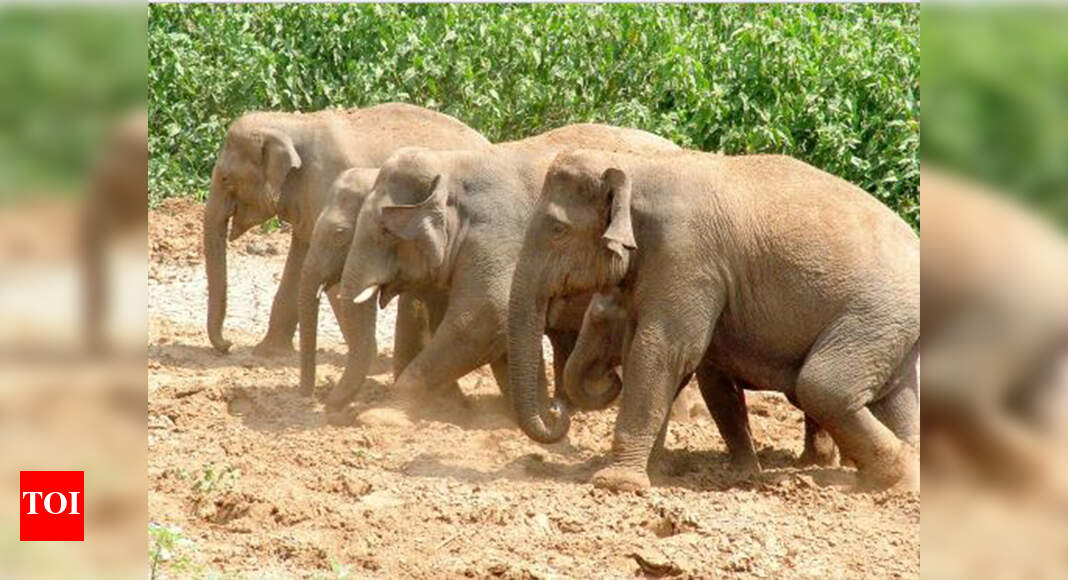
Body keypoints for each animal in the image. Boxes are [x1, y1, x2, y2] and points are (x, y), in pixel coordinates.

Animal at [203, 103, 490, 360]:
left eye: (226, 179)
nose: (227, 346)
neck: (292, 122)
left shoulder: (326, 183)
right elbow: (300, 261)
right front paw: (267, 353)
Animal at [325, 124, 681, 420]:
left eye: (385, 231)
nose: (327, 406)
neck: (451, 164)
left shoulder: (497, 237)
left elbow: (483, 316)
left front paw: (382, 415)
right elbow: (500, 329)